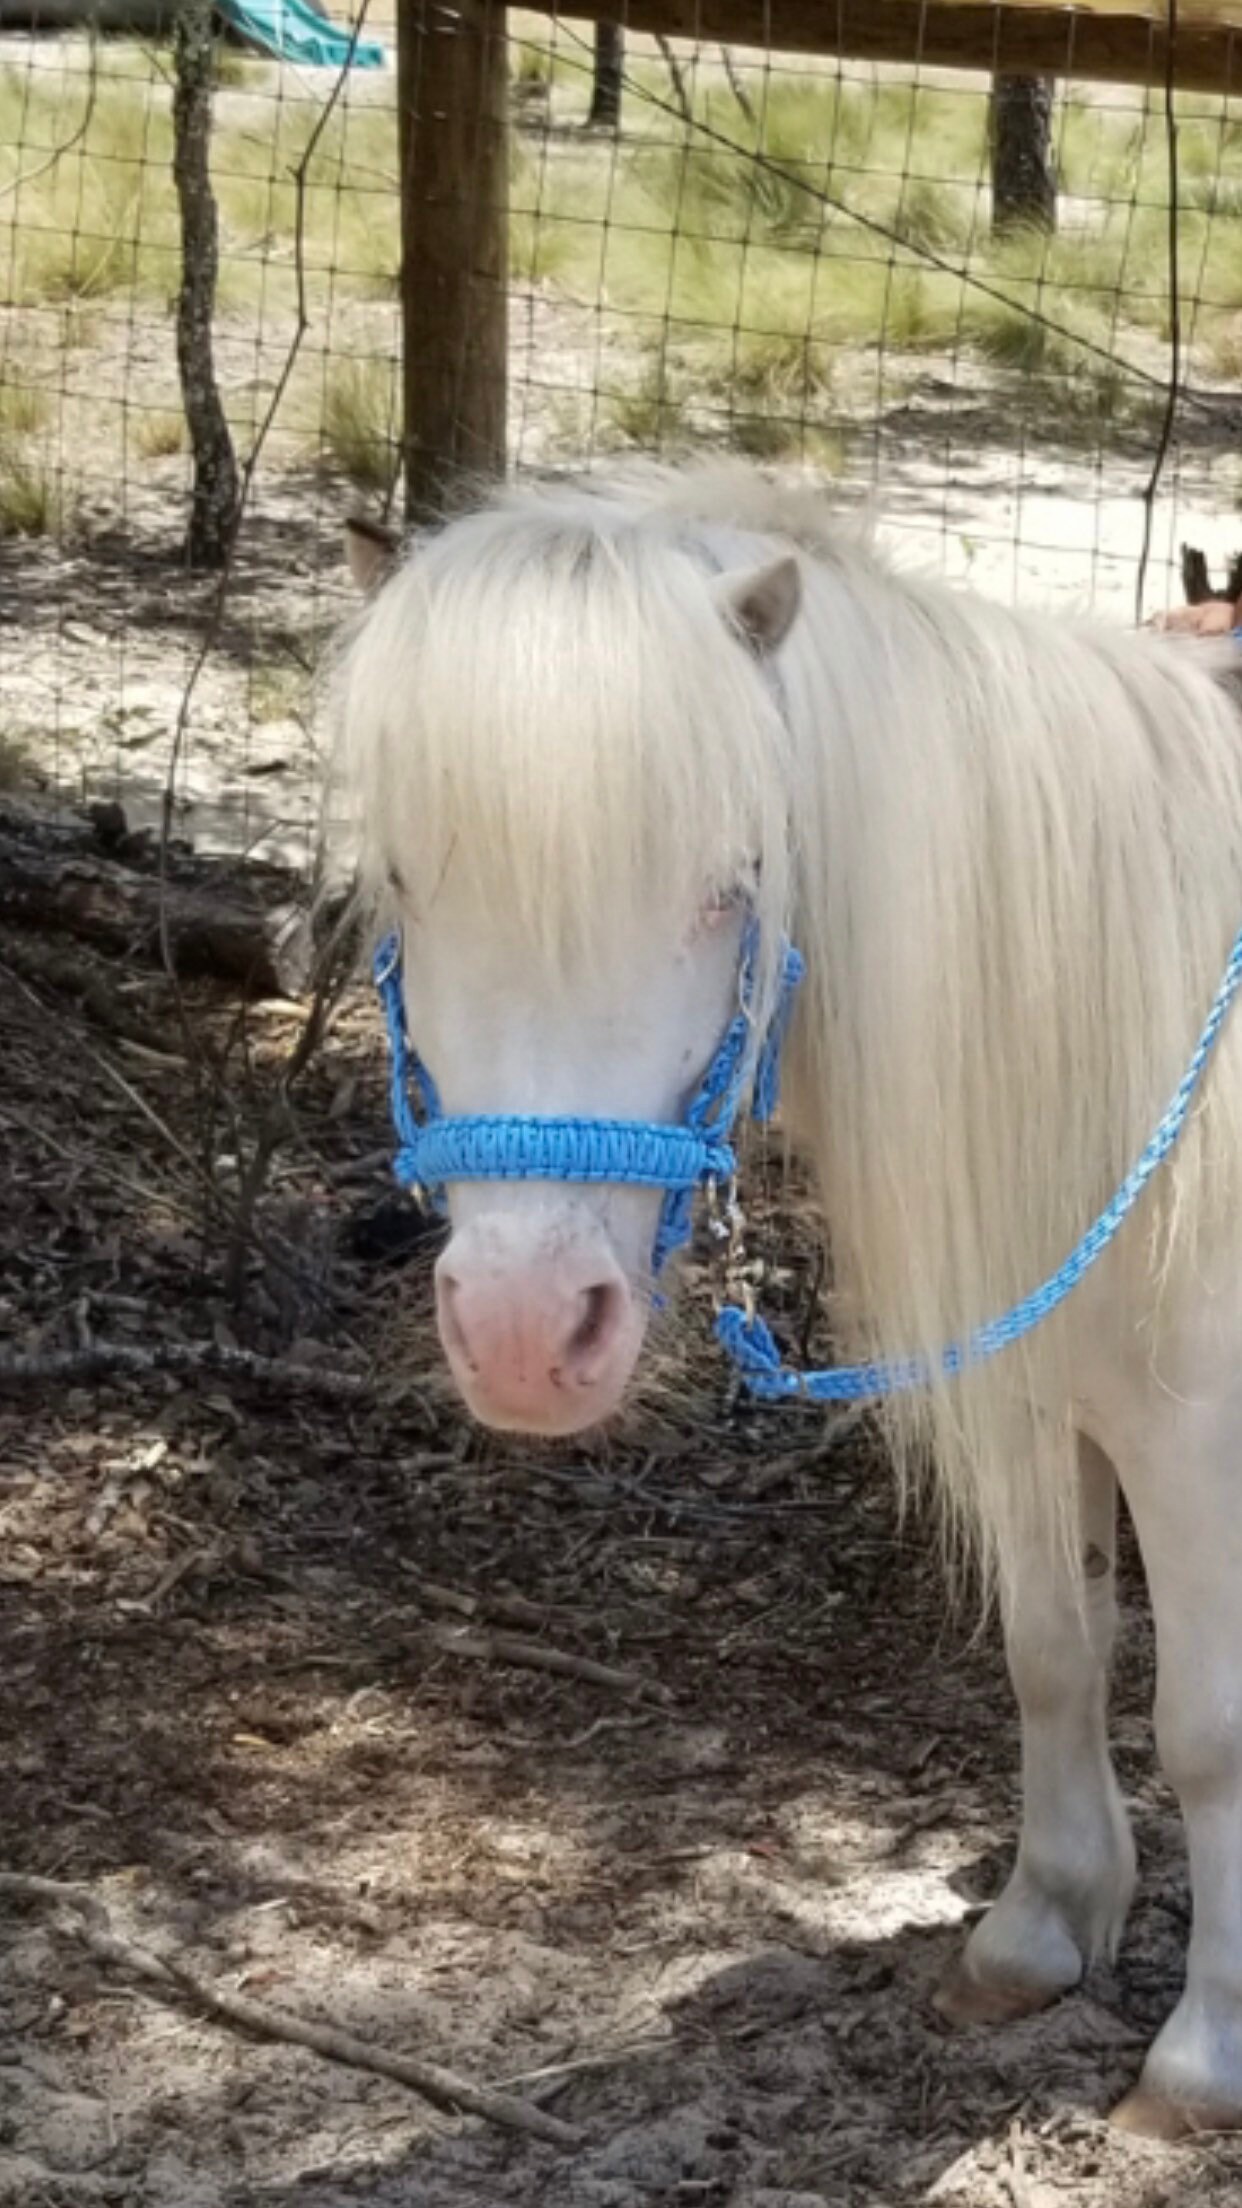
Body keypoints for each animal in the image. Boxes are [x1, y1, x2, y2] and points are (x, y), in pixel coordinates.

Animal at [330, 464, 1242, 2140]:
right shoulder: (1035, 1398)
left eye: (727, 886)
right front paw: (1035, 1934)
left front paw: (1204, 2058)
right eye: (407, 882)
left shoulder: (1196, 1440)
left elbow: (1207, 1730)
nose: (523, 1335)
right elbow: (1054, 1645)